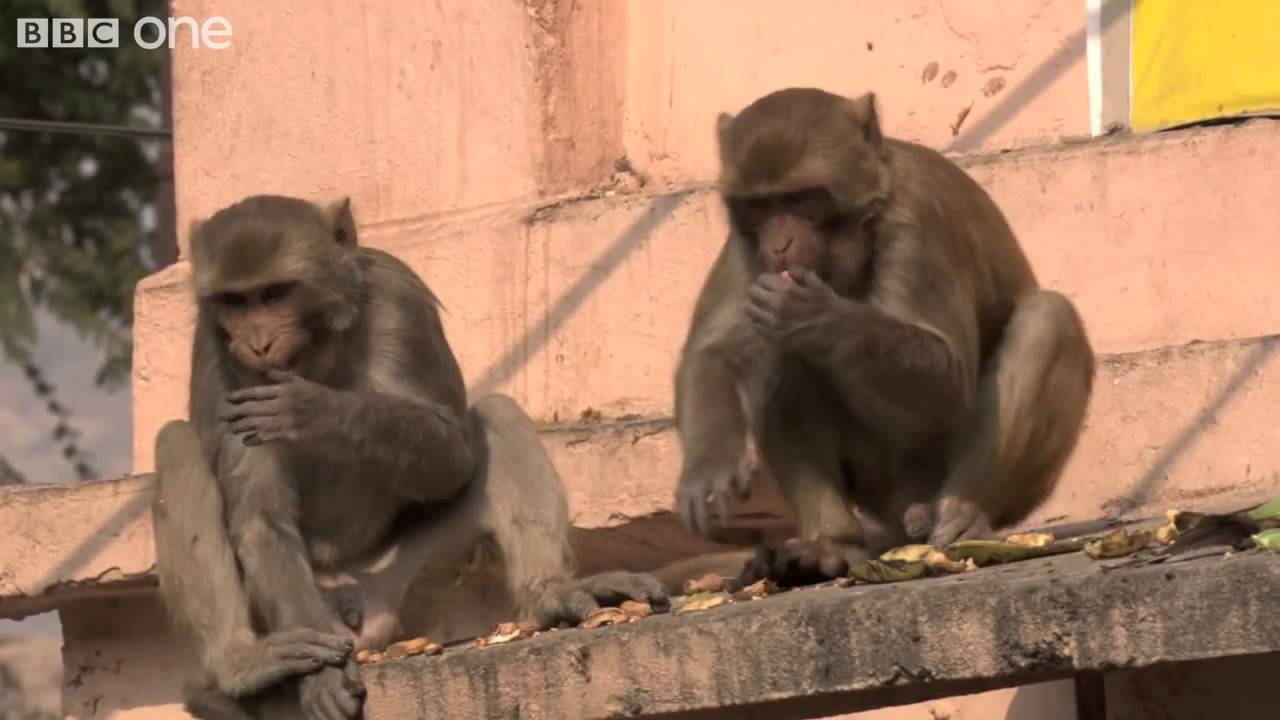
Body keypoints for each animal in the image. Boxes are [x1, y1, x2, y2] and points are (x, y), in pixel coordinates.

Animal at [150, 194, 667, 720]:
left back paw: (552, 596)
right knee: (176, 446)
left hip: (405, 593)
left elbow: (453, 456)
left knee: (497, 415)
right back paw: (243, 662)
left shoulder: (398, 296)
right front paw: (320, 677)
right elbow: (261, 517)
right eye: (235, 302)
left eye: (275, 293)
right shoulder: (218, 350)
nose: (257, 343)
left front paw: (315, 409)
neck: (318, 347)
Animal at [670, 87, 1096, 587]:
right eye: (759, 208)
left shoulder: (916, 219)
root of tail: (899, 517)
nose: (779, 246)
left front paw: (818, 317)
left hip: (975, 487)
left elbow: (949, 385)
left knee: (1048, 319)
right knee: (779, 361)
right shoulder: (745, 247)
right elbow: (712, 350)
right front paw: (708, 468)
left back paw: (967, 512)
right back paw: (831, 545)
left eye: (803, 200)